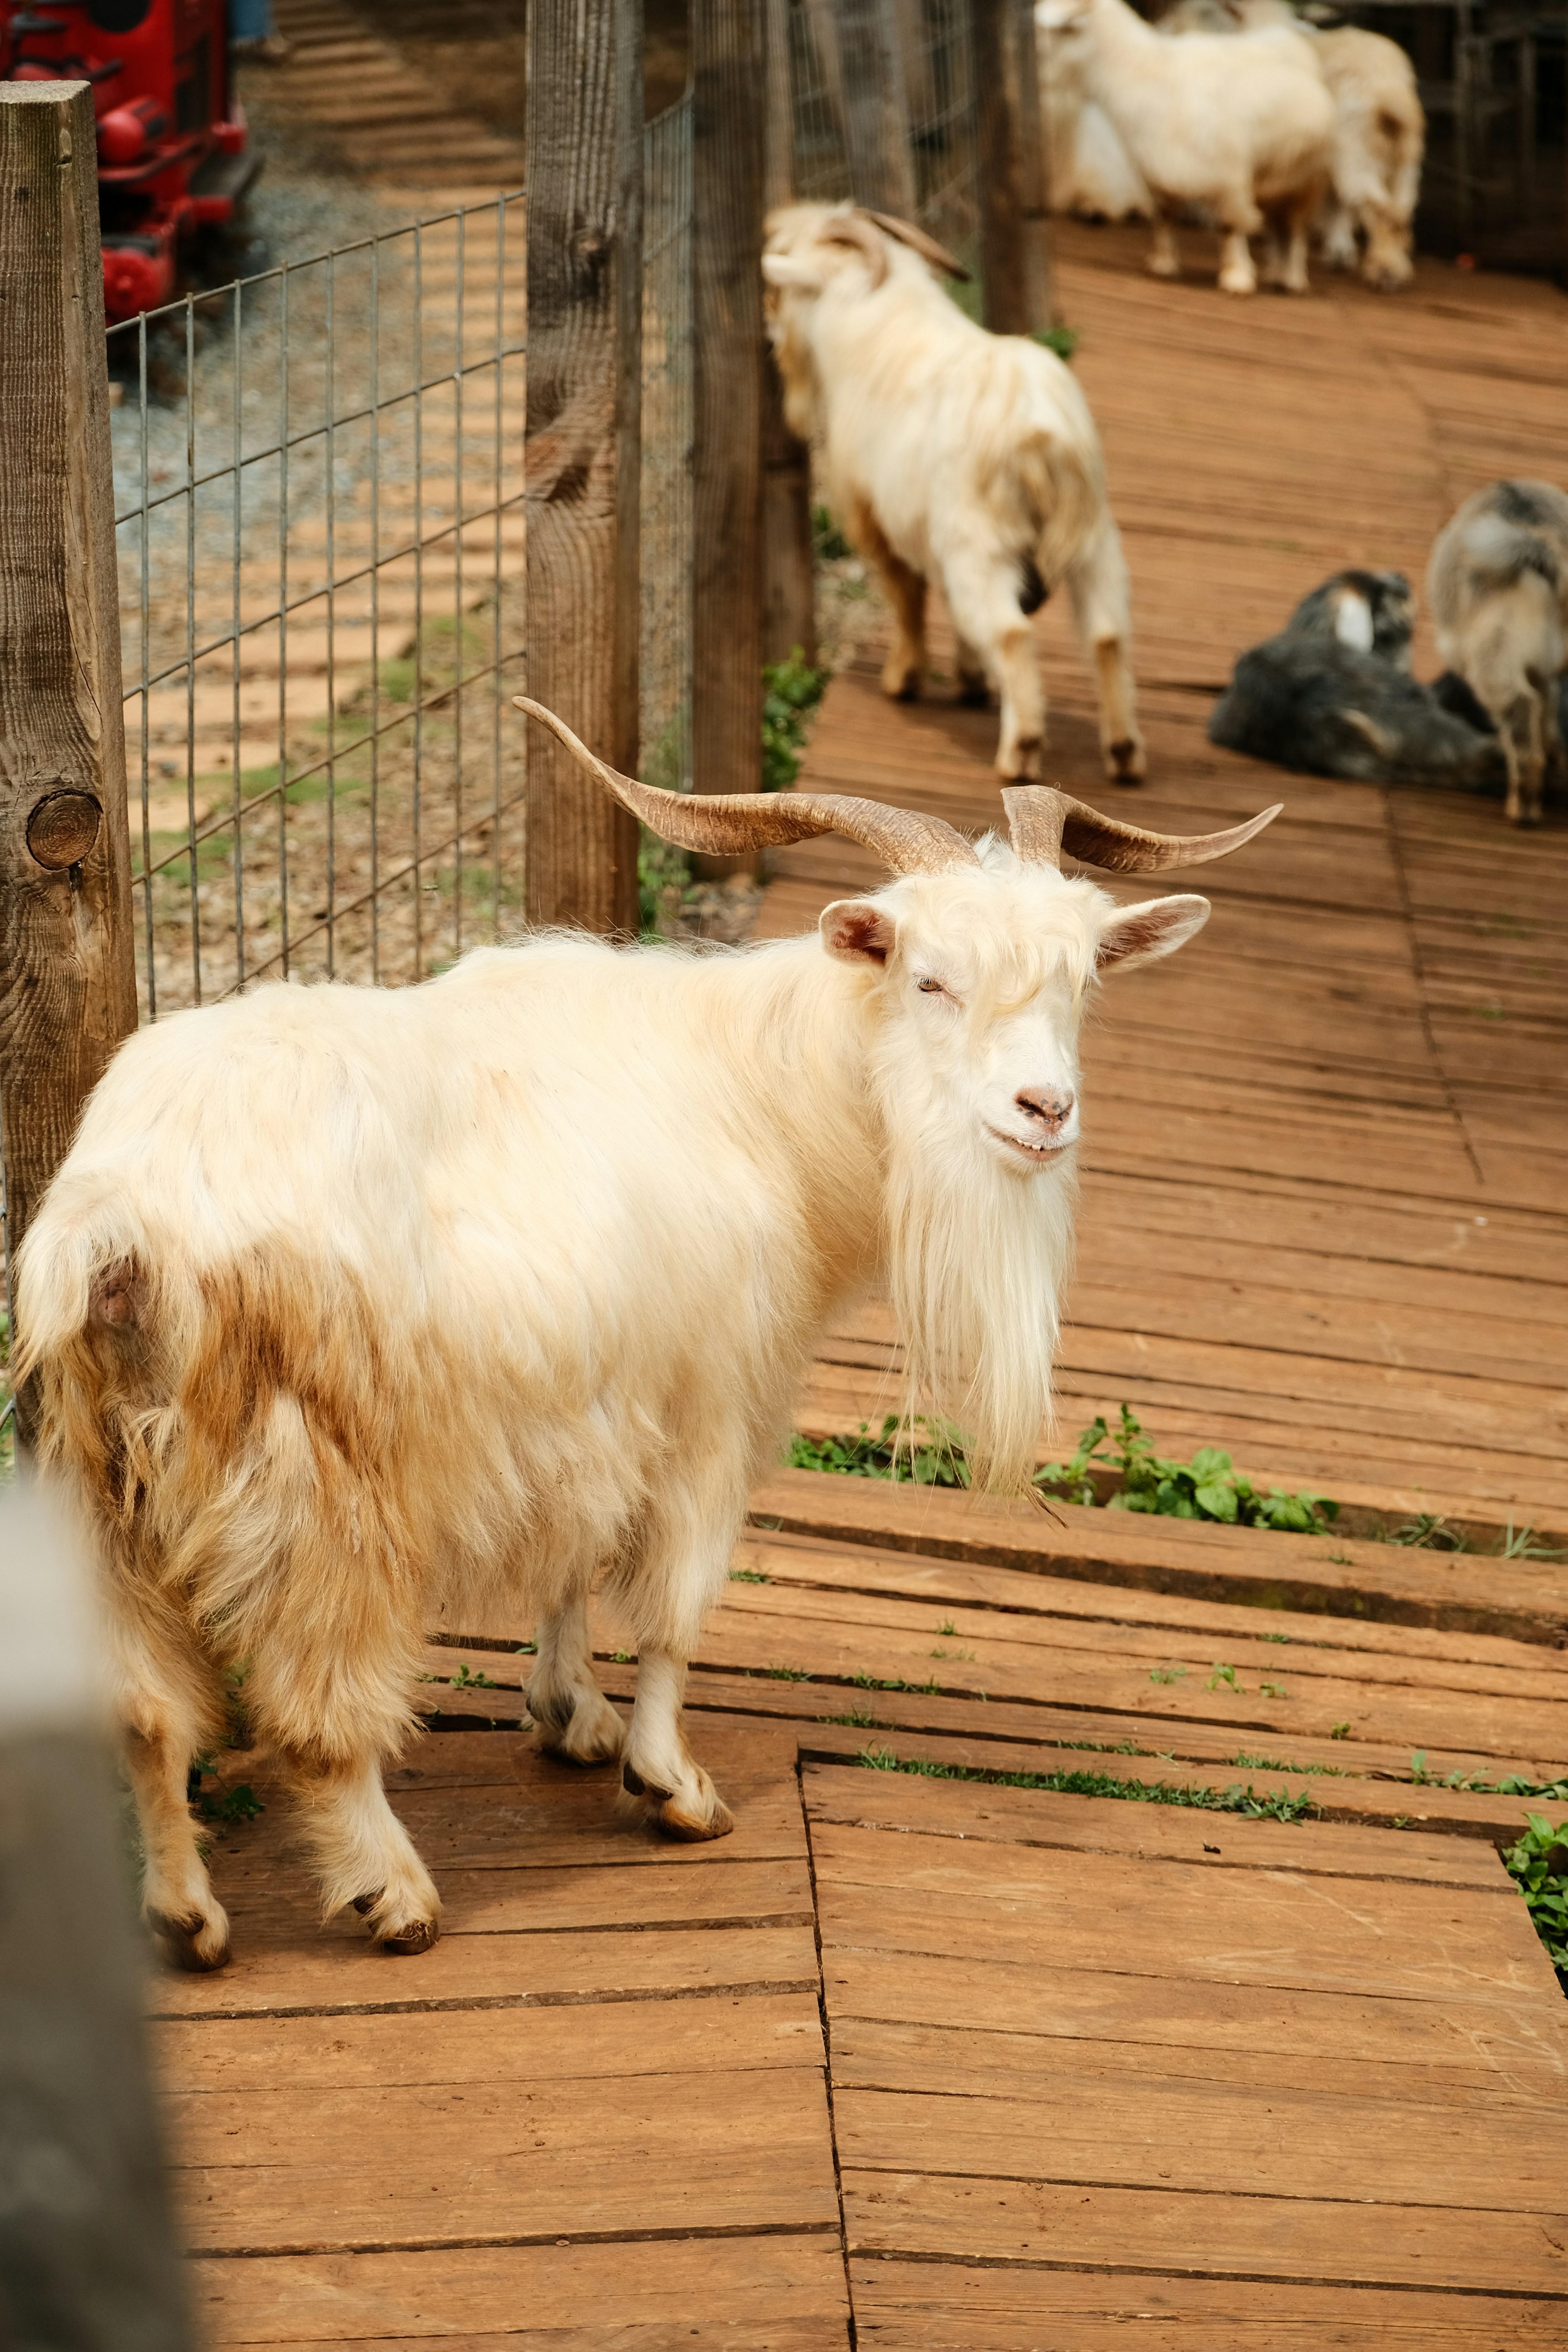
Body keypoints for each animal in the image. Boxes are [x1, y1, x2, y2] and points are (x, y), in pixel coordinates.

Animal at [16, 709, 1279, 1969]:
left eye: (1081, 984)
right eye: (930, 976)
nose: (1043, 1111)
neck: (762, 1092)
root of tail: (123, 1222)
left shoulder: (590, 1408)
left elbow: (572, 1562)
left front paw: (569, 1712)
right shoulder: (712, 1407)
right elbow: (676, 1604)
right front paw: (672, 1782)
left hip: (97, 1485)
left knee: (140, 1711)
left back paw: (185, 1918)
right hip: (327, 1489)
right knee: (317, 1714)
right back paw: (393, 1894)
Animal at [762, 202, 1145, 786]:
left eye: (781, 289)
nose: (768, 333)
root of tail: (1040, 433)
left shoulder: (874, 517)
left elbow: (907, 596)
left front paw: (904, 678)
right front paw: (970, 680)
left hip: (981, 545)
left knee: (1010, 633)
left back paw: (1019, 752)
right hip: (1092, 540)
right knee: (1106, 635)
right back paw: (1123, 753)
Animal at [1038, 0, 1334, 295]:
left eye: (1056, 29)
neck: (1150, 76)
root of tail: (1283, 32)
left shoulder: (1228, 179)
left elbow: (1230, 226)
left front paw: (1236, 277)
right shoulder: (1156, 174)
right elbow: (1164, 218)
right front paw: (1163, 263)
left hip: (1307, 180)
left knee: (1295, 230)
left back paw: (1293, 278)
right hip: (1274, 178)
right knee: (1277, 228)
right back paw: (1276, 272)